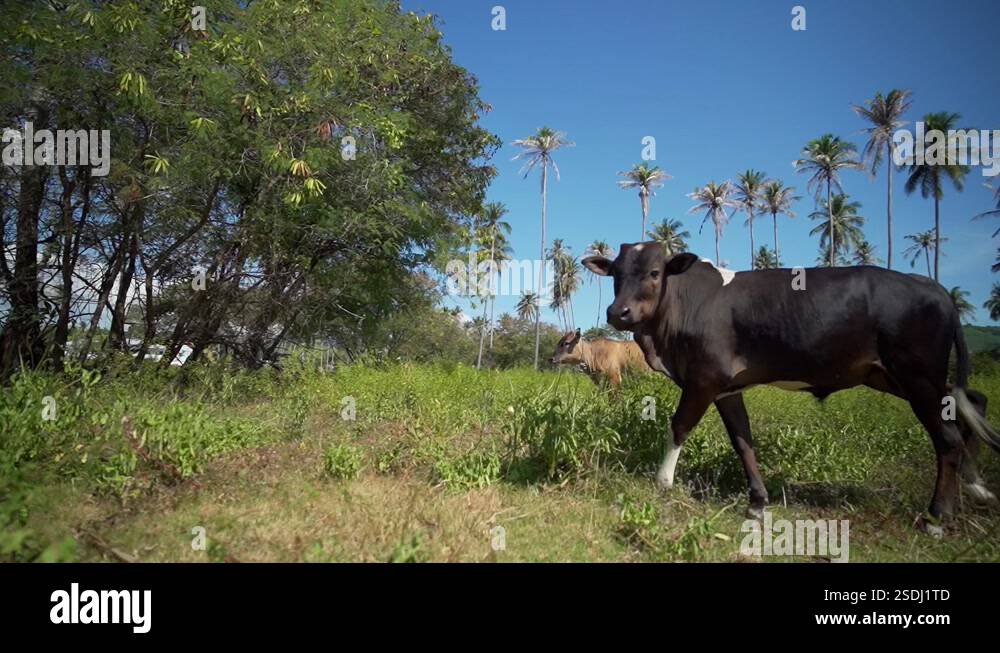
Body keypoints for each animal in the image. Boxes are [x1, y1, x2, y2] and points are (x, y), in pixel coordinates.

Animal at [582, 244, 1000, 534]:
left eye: (655, 272)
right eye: (615, 273)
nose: (618, 313)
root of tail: (931, 284)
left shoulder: (703, 378)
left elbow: (679, 426)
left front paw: (663, 482)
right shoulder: (727, 387)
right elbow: (743, 440)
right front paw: (757, 503)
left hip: (917, 375)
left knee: (947, 439)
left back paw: (937, 518)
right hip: (894, 376)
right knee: (972, 401)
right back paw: (978, 488)